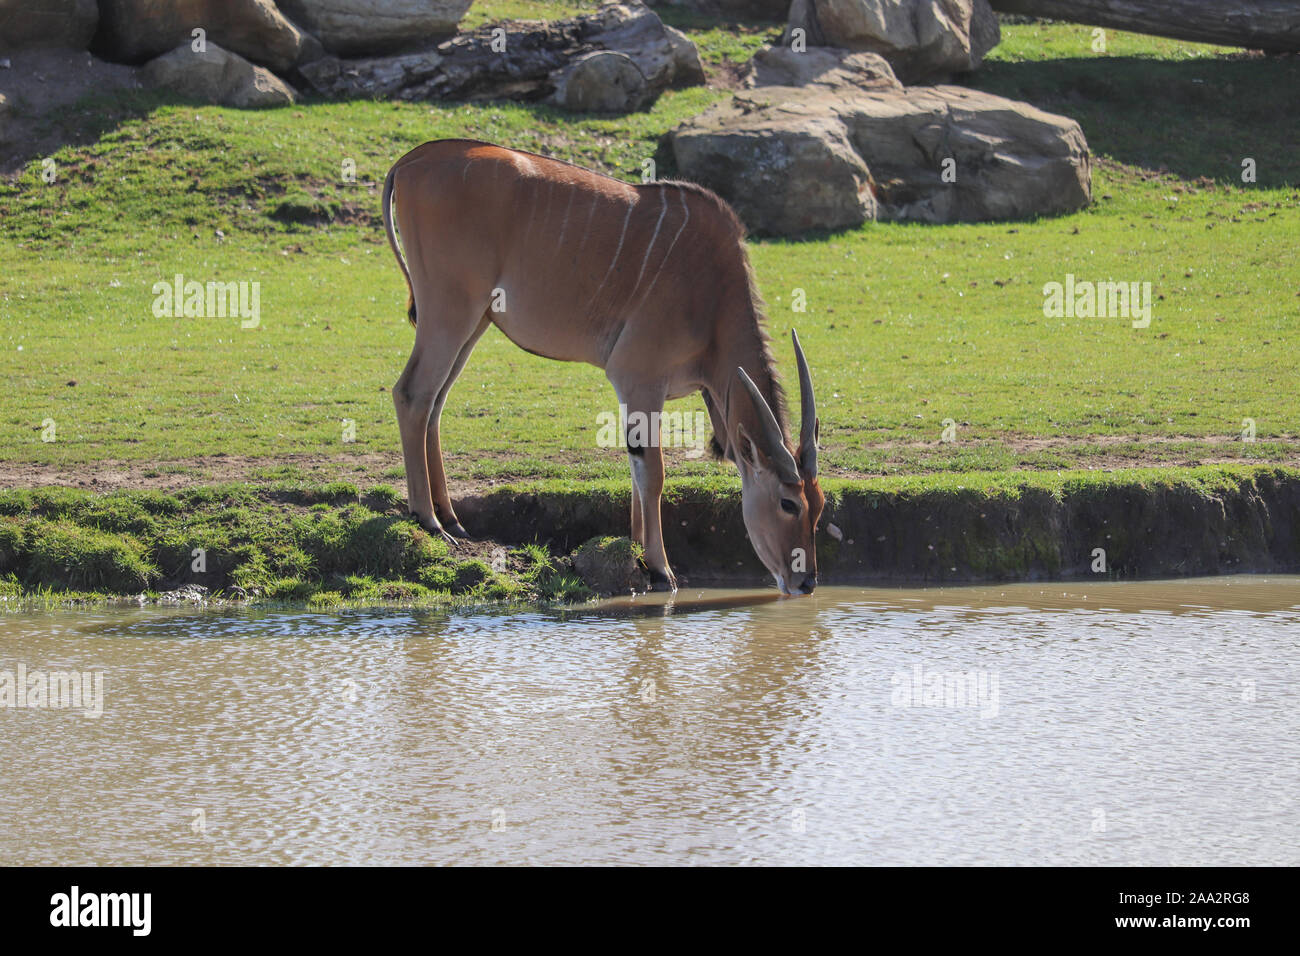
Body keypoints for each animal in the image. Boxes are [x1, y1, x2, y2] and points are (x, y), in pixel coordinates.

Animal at [382, 139, 823, 594]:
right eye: (788, 503)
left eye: (820, 505)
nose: (806, 582)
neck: (712, 292)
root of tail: (413, 160)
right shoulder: (638, 377)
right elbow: (654, 472)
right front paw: (661, 569)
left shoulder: (640, 389)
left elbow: (635, 467)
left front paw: (637, 550)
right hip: (449, 312)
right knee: (412, 393)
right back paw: (428, 519)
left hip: (475, 323)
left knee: (434, 403)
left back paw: (450, 516)